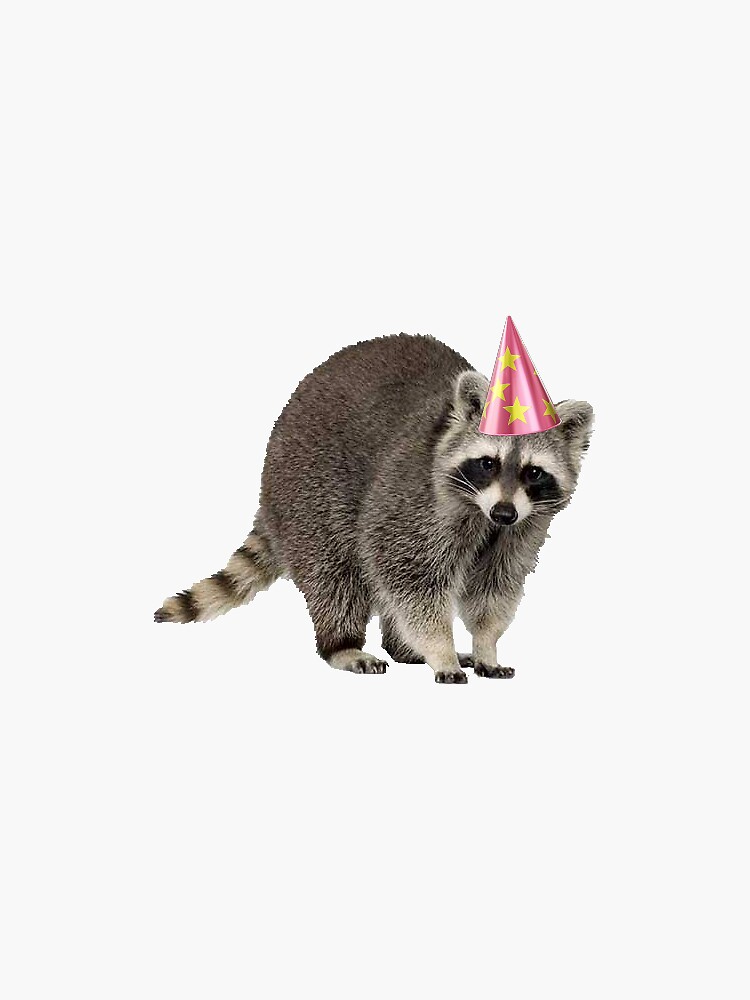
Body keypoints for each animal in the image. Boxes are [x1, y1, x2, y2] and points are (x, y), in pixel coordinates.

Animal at [155, 333, 593, 683]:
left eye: (534, 472)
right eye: (488, 463)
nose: (503, 513)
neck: (480, 510)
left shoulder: (524, 526)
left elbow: (495, 586)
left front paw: (486, 644)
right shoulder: (413, 500)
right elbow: (411, 578)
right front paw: (440, 649)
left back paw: (403, 648)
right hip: (307, 487)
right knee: (334, 574)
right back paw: (342, 643)